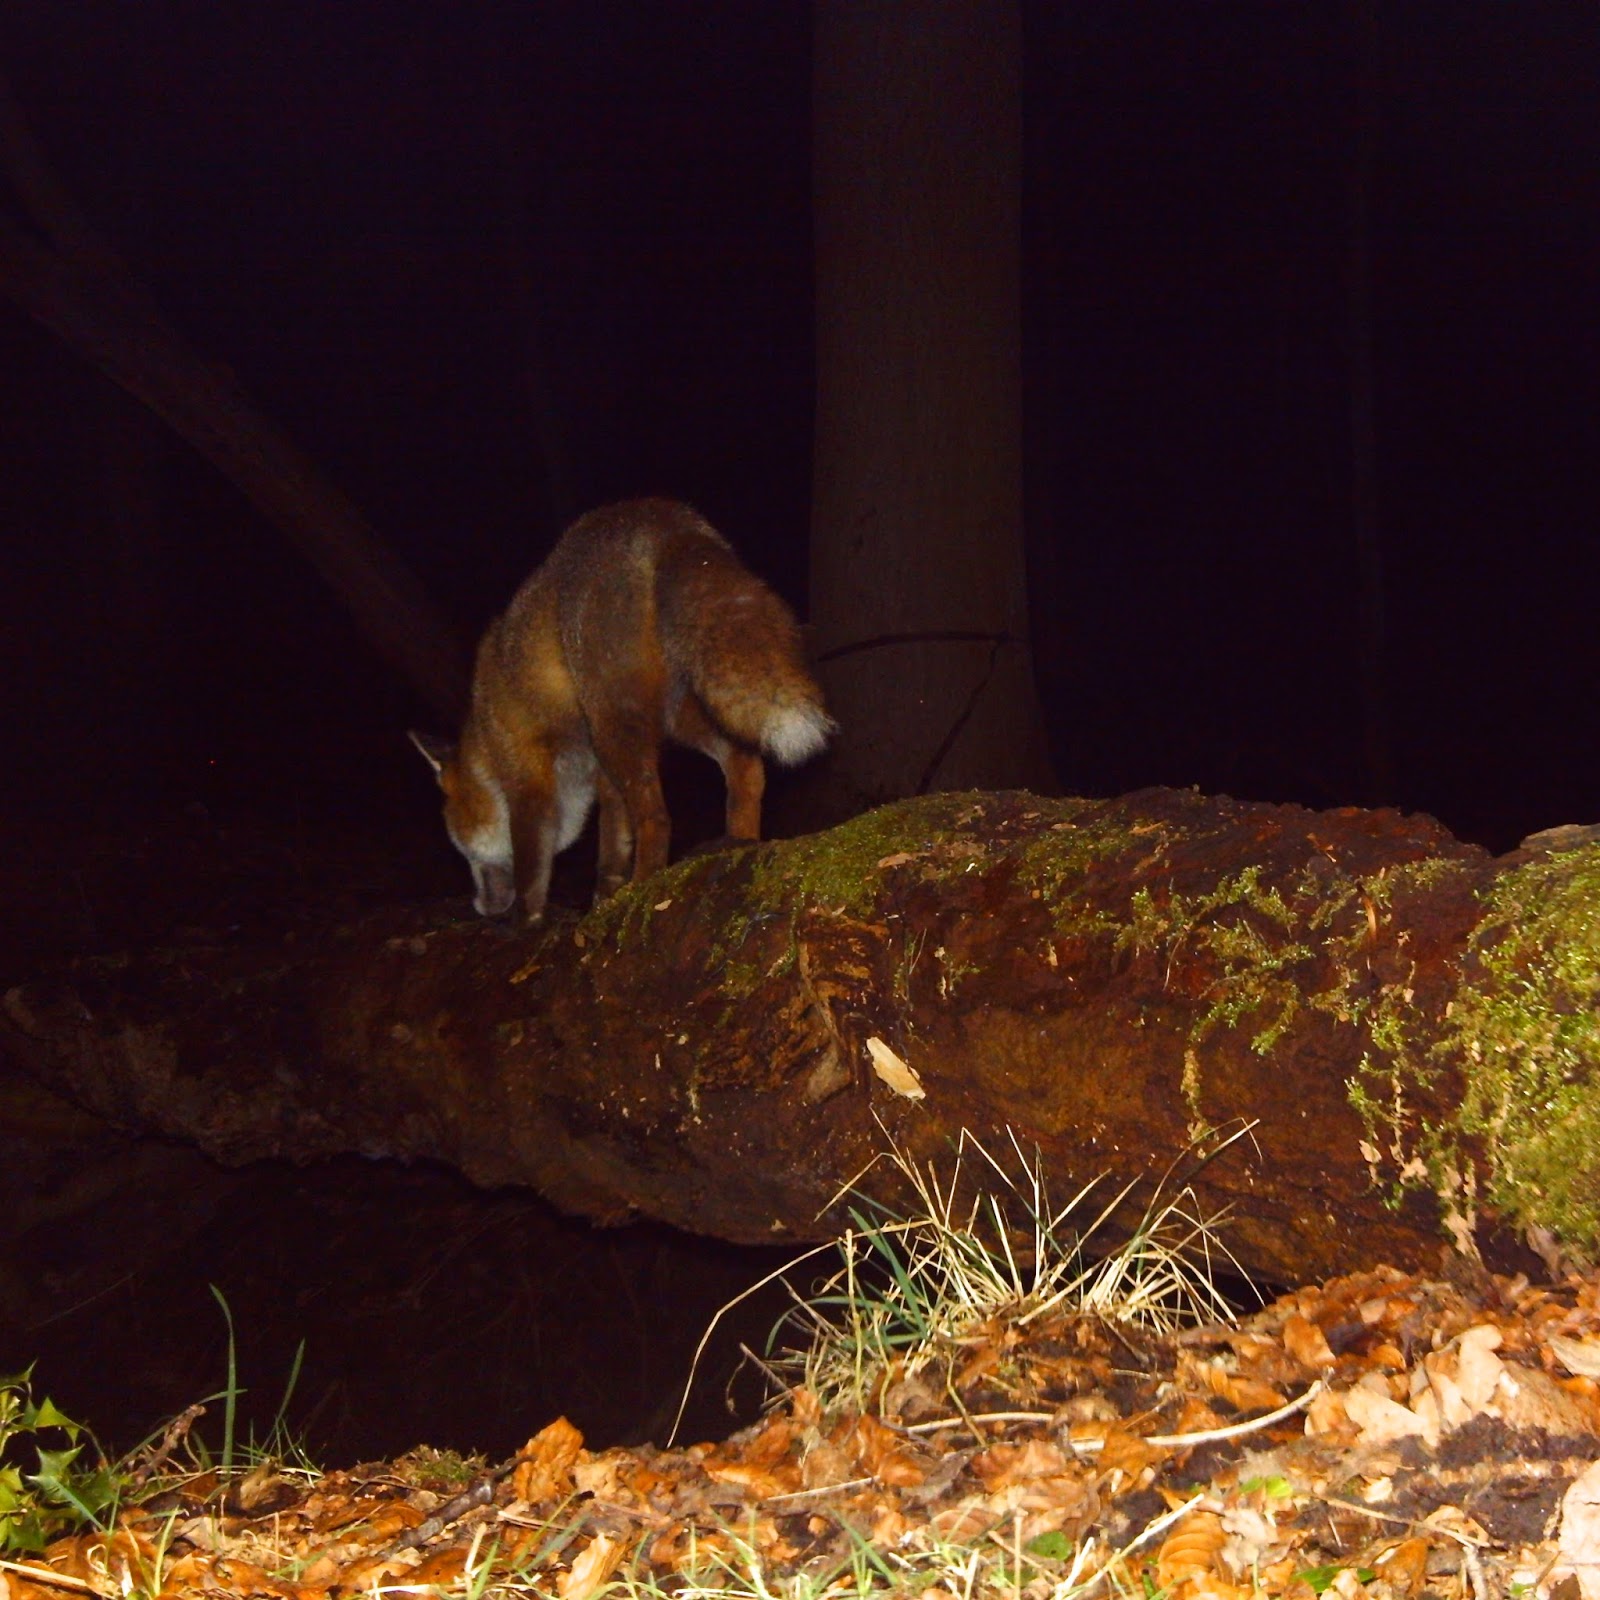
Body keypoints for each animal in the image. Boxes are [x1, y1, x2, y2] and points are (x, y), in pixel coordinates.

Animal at [411, 498, 834, 923]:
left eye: (465, 852)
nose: (480, 907)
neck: (485, 732)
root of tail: (659, 518)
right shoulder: (599, 773)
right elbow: (612, 845)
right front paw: (603, 898)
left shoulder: (526, 774)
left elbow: (532, 867)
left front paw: (526, 920)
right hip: (674, 716)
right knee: (744, 766)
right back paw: (739, 842)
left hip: (614, 723)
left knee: (657, 818)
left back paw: (644, 884)